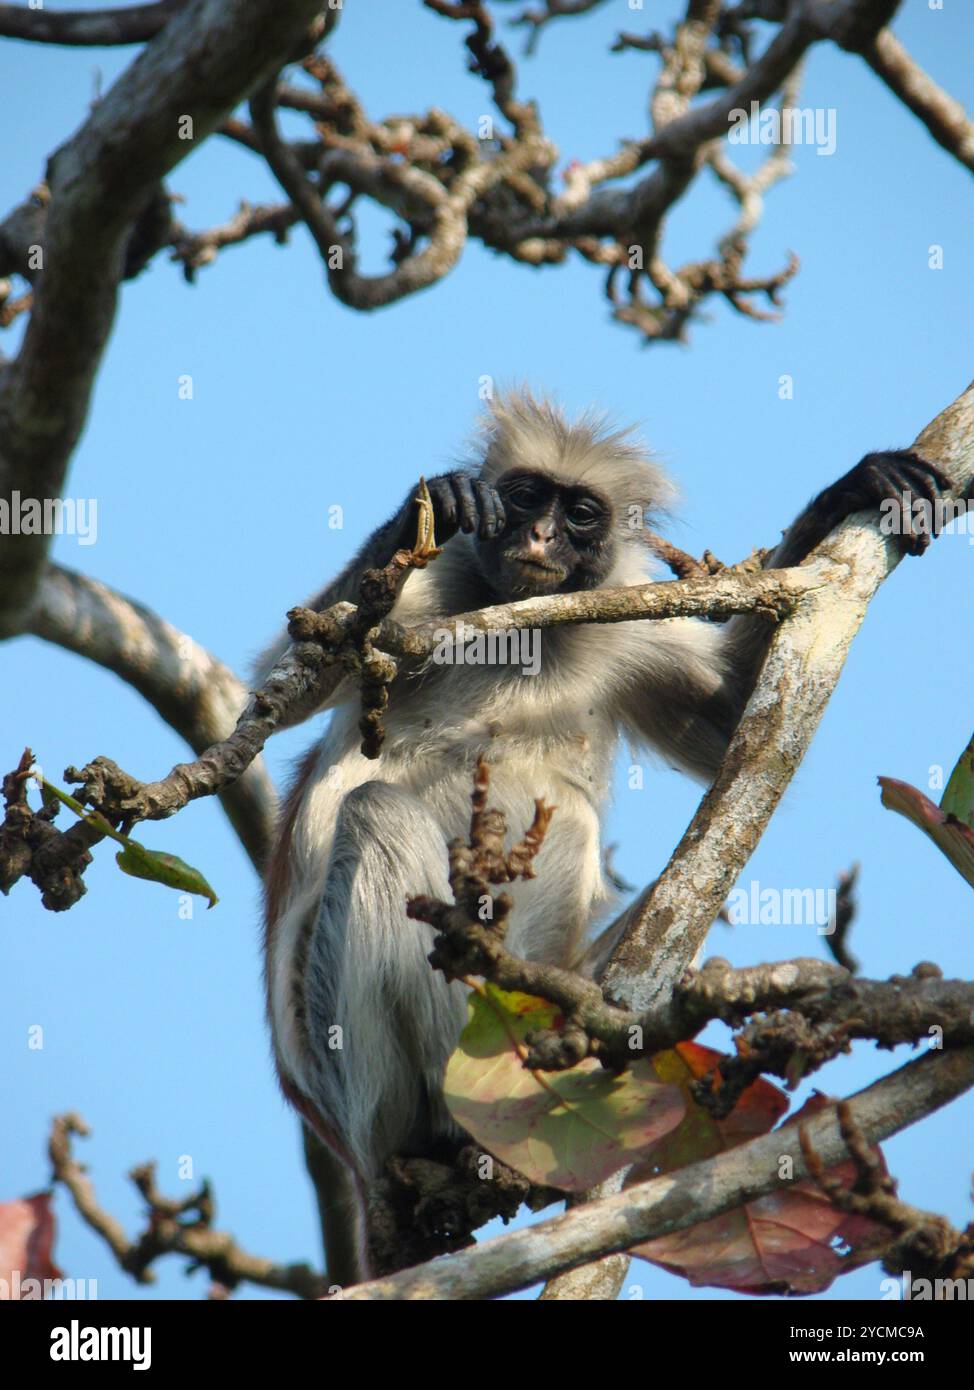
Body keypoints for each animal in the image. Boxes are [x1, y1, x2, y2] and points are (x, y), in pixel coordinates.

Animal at [260, 390, 948, 1284]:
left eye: (580, 514)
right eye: (524, 499)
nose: (540, 539)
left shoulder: (628, 625)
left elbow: (737, 717)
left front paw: (851, 490)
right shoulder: (425, 598)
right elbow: (298, 666)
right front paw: (431, 506)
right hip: (339, 1061)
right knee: (374, 812)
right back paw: (465, 1121)